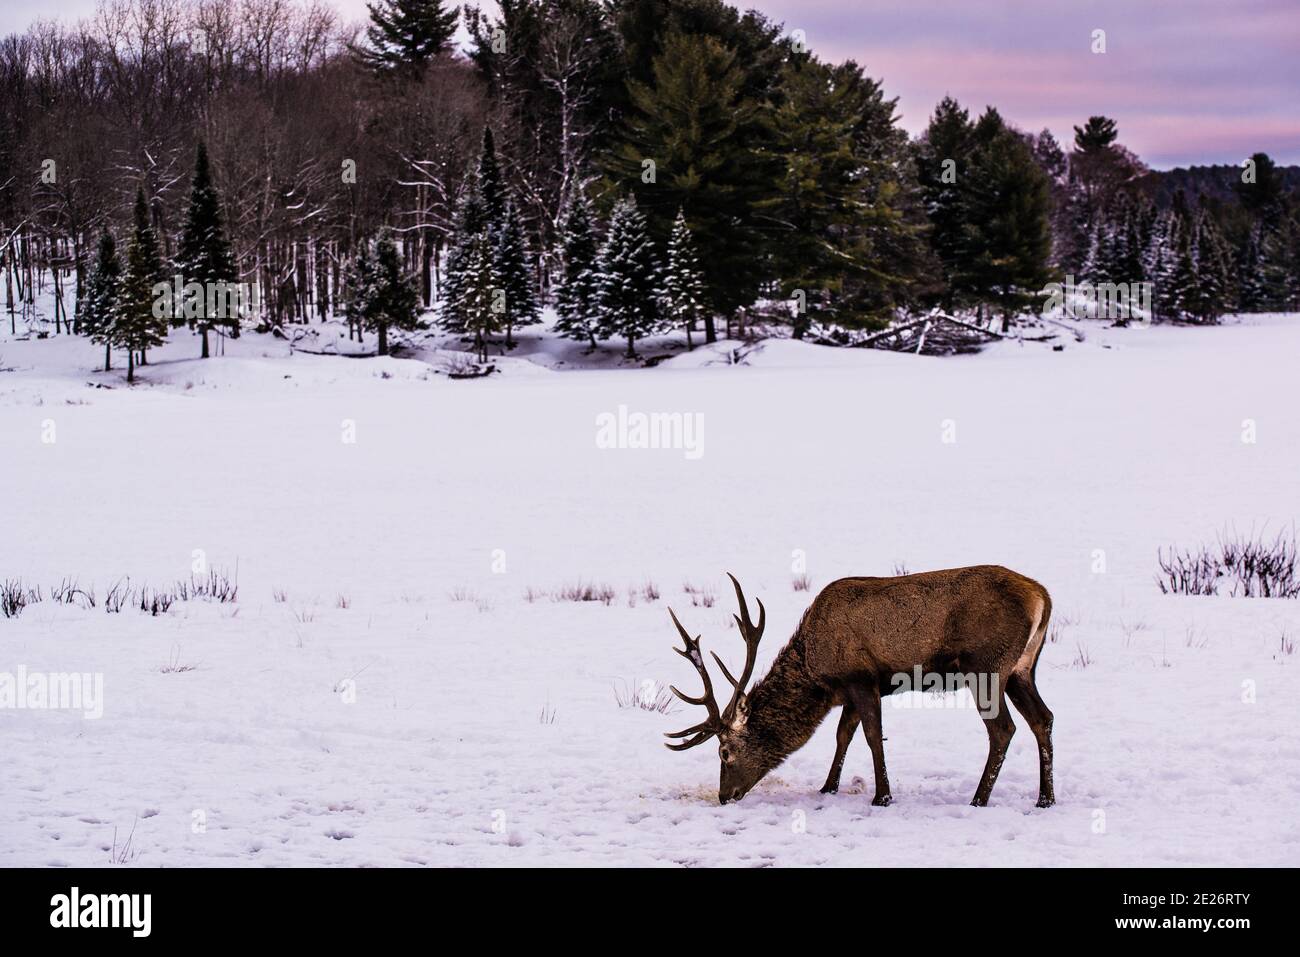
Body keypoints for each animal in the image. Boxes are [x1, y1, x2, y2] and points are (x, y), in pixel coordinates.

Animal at [666, 568, 1055, 808]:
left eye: (724, 752)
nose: (724, 795)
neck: (817, 673)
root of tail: (1042, 597)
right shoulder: (852, 692)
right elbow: (843, 735)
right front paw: (828, 787)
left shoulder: (861, 679)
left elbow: (871, 736)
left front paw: (882, 796)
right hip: (1022, 670)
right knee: (1043, 718)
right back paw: (1045, 798)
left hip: (986, 666)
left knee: (1003, 728)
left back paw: (979, 799)